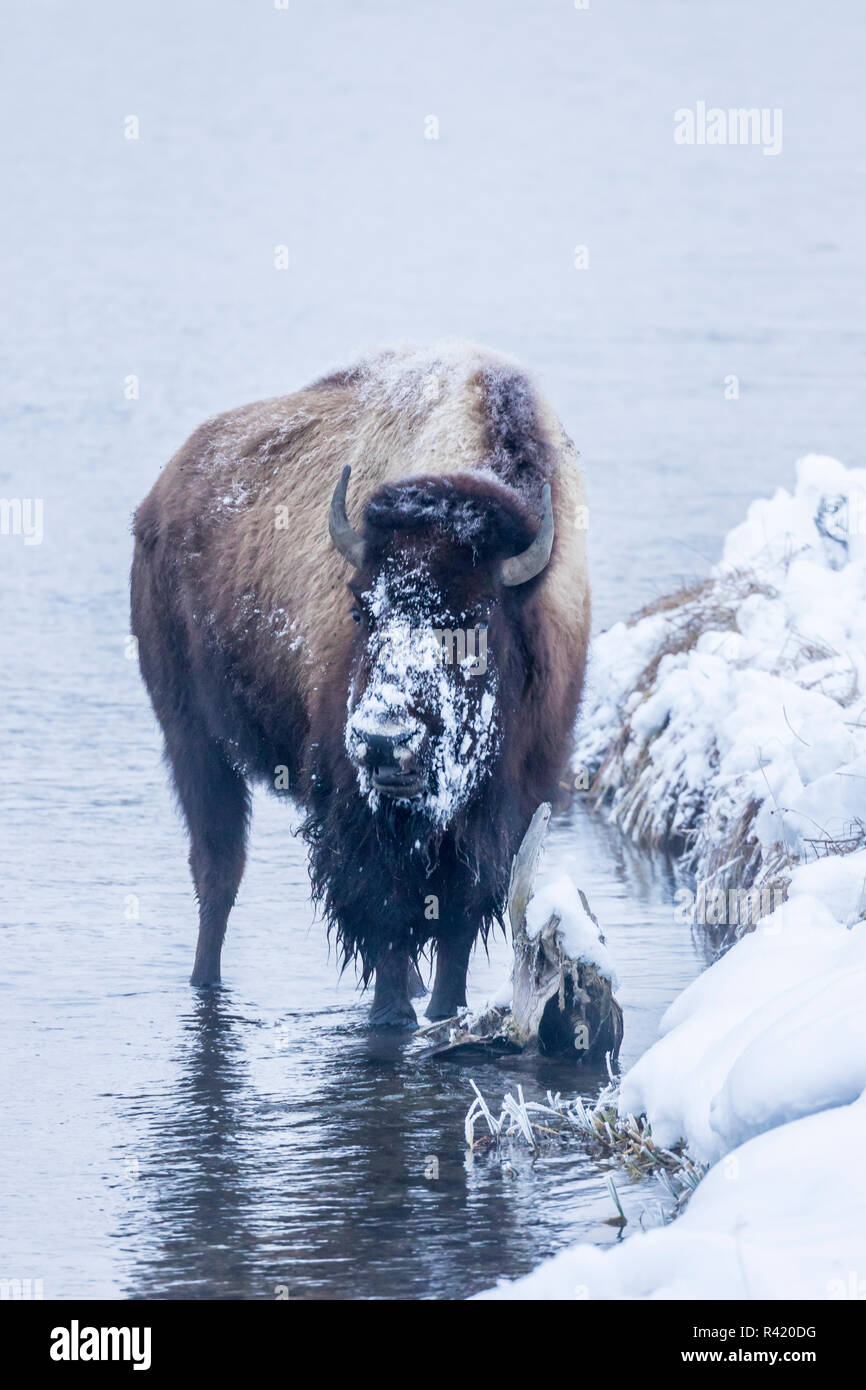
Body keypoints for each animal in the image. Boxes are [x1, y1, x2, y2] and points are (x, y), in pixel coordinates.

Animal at [131, 343, 590, 1025]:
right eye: (360, 610)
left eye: (474, 622)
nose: (383, 741)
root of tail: (163, 494)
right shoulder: (355, 817)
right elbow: (385, 922)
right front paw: (392, 1016)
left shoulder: (500, 814)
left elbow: (454, 926)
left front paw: (441, 1008)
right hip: (192, 738)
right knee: (218, 871)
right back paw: (203, 982)